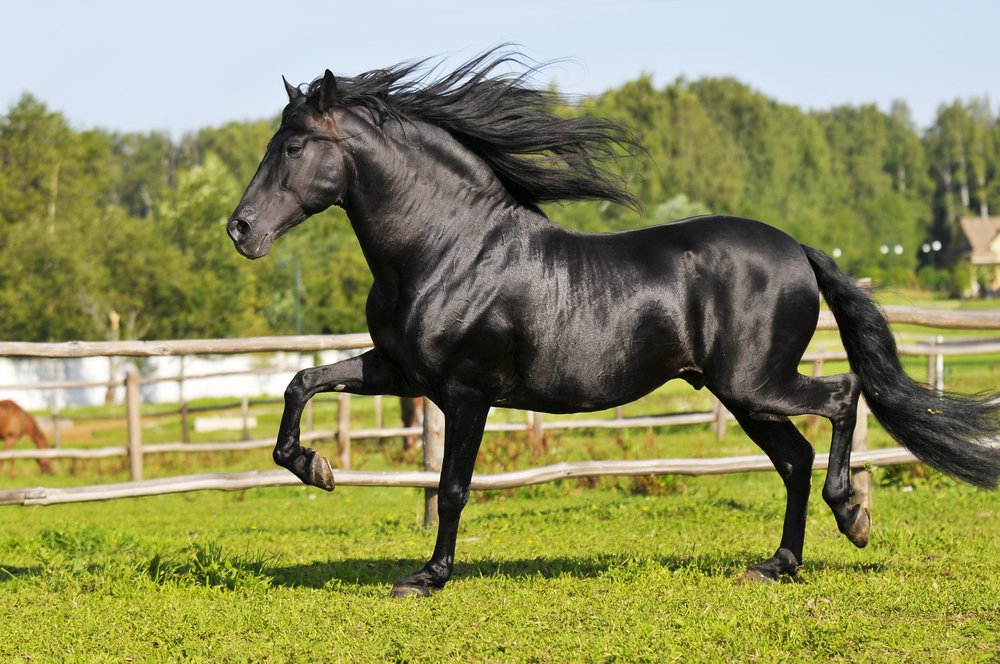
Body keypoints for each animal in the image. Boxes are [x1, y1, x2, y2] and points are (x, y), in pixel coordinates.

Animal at [227, 49, 1000, 596]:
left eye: (291, 147)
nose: (240, 229)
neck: (448, 248)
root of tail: (797, 250)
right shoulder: (401, 372)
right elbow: (303, 381)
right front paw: (316, 468)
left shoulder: (467, 393)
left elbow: (450, 489)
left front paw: (427, 578)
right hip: (740, 393)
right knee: (794, 457)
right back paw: (777, 564)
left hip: (754, 382)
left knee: (841, 400)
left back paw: (854, 515)